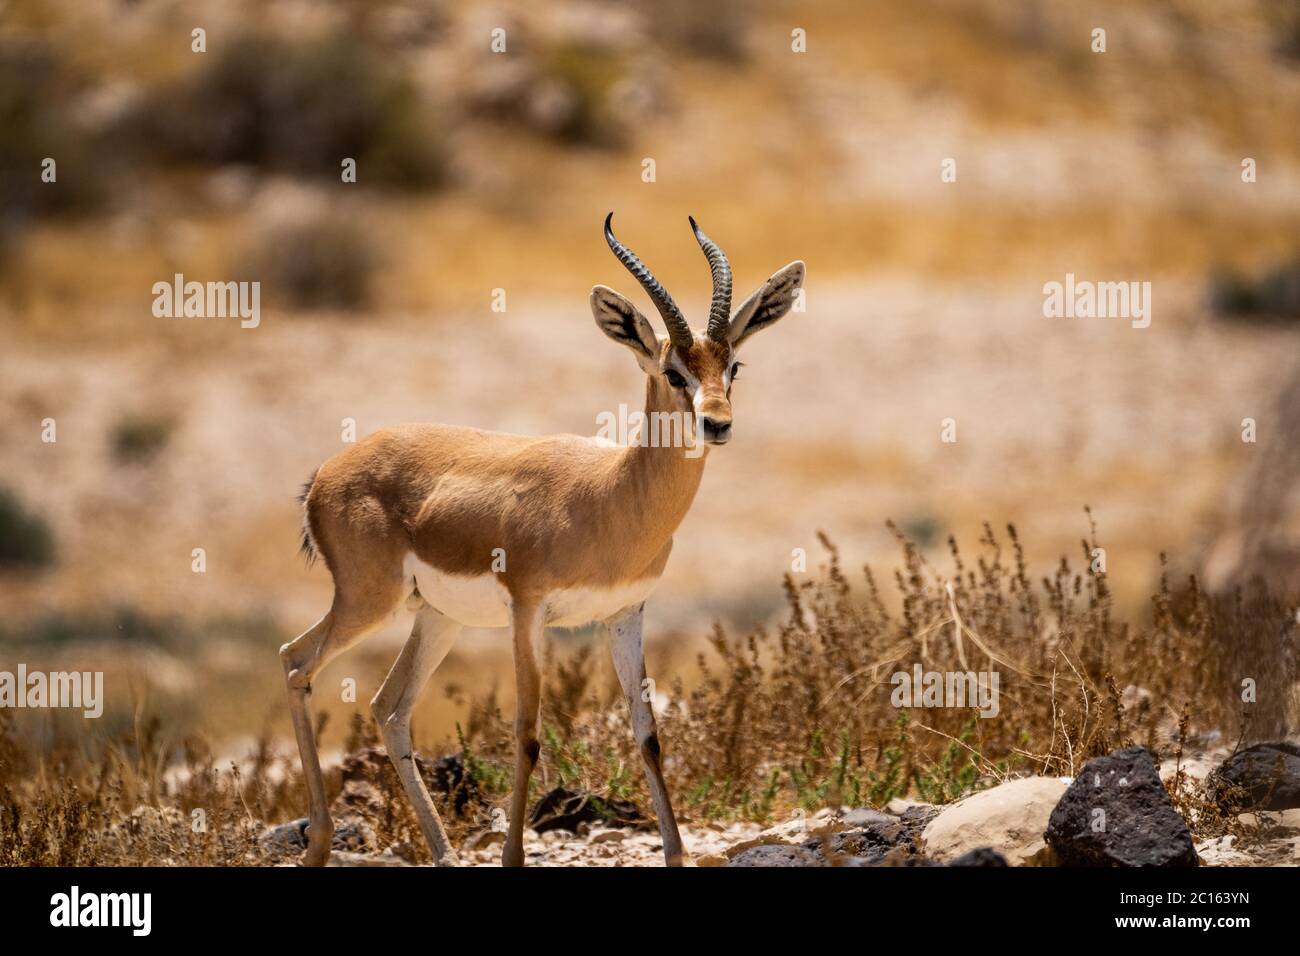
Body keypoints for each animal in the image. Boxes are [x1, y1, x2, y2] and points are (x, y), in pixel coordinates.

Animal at [281, 214, 805, 867]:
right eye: (672, 371)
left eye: (732, 366)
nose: (718, 423)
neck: (610, 494)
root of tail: (325, 474)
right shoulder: (528, 611)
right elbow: (527, 734)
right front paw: (513, 855)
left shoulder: (626, 613)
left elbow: (647, 733)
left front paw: (675, 853)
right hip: (367, 603)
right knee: (295, 662)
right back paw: (321, 843)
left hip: (436, 618)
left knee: (387, 706)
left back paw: (443, 853)